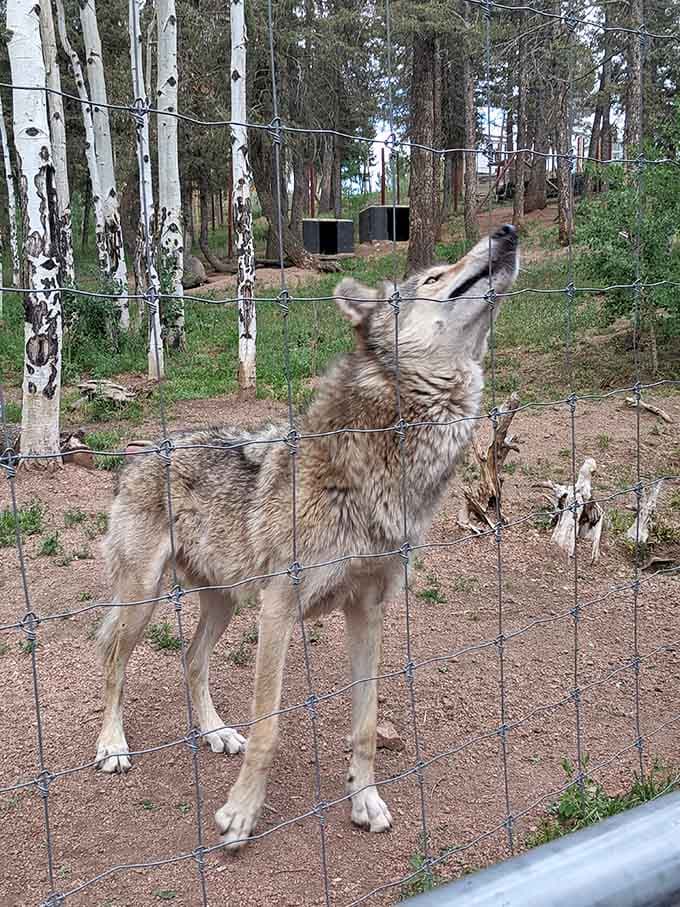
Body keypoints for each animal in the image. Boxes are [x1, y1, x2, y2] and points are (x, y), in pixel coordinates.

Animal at [95, 224, 519, 849]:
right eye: (434, 276)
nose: (507, 232)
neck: (384, 464)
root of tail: (139, 451)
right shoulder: (278, 609)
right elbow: (268, 728)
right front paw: (240, 815)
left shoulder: (368, 607)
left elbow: (365, 724)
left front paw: (364, 801)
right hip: (144, 599)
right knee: (114, 661)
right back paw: (112, 745)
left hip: (223, 601)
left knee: (192, 661)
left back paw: (216, 732)